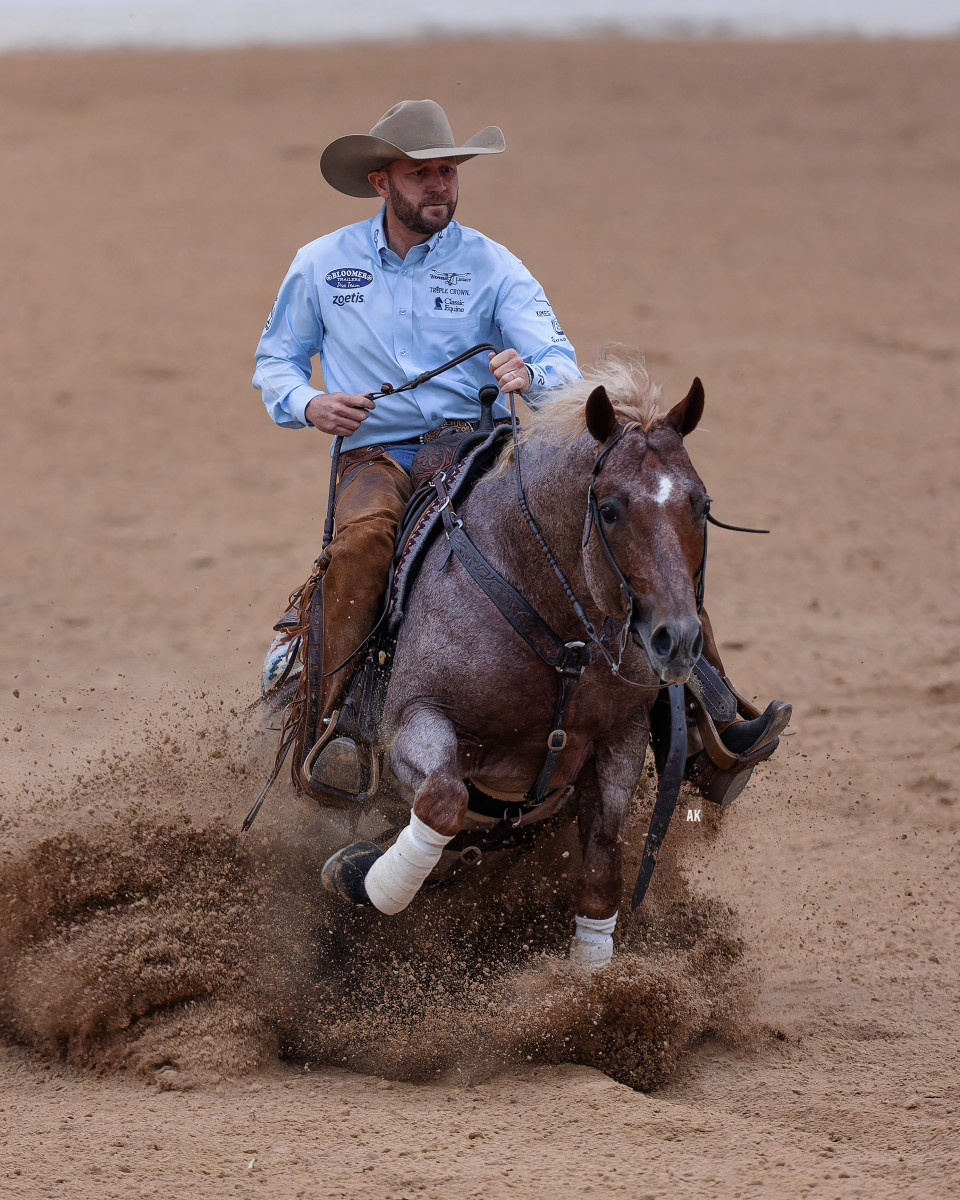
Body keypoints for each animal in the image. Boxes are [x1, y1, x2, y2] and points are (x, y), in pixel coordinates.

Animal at [316, 354, 715, 970]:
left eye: (702, 504)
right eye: (609, 509)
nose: (678, 639)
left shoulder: (619, 738)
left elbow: (602, 862)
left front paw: (592, 978)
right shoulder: (413, 721)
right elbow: (442, 801)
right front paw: (363, 876)